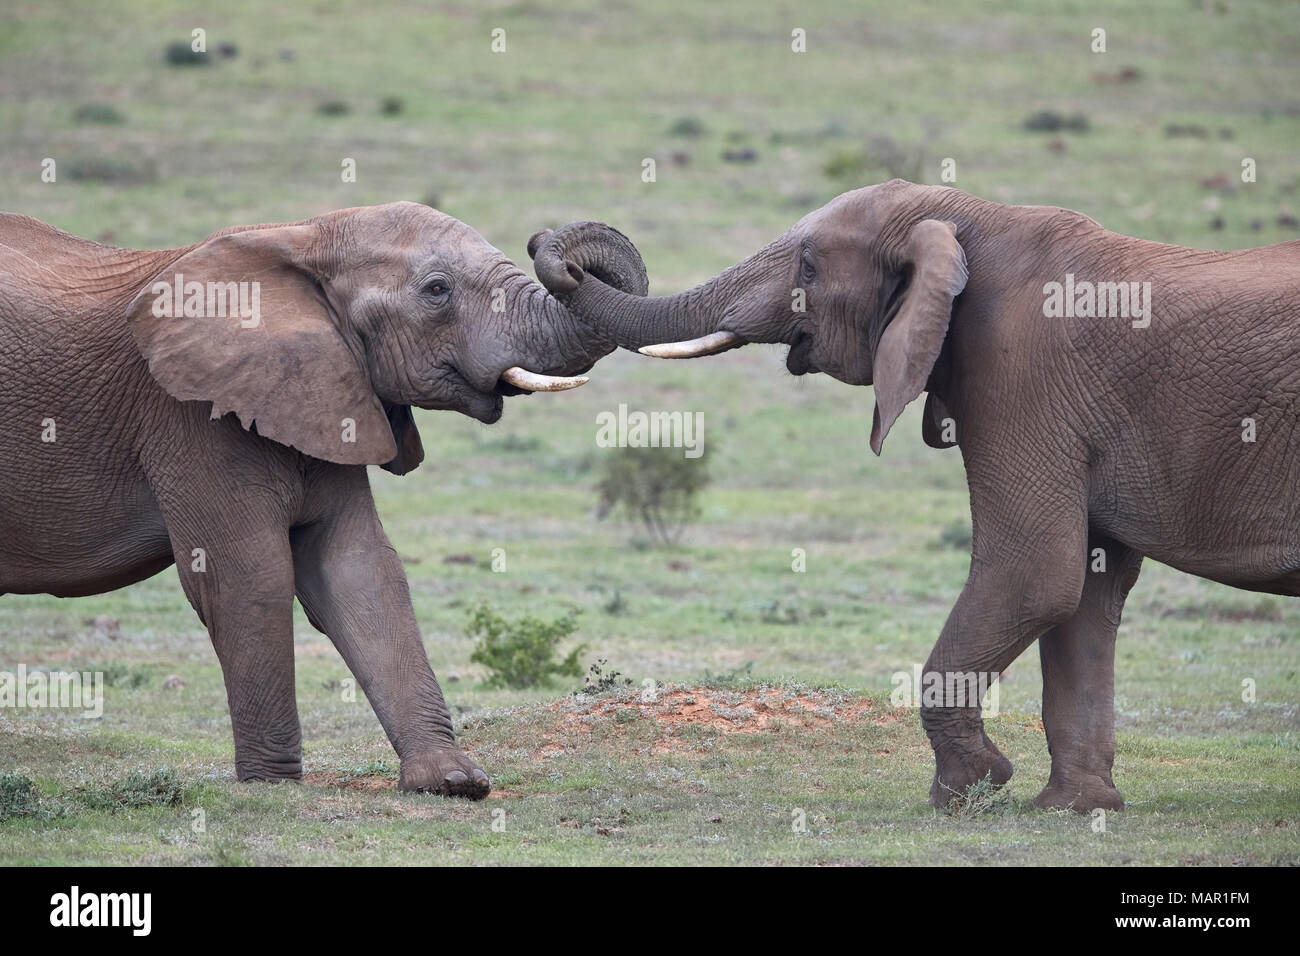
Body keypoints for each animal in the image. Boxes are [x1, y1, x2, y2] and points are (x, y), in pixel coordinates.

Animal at [0, 201, 645, 798]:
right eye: (437, 291)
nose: (548, 244)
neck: (300, 234)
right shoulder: (190, 414)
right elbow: (251, 576)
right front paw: (273, 785)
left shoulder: (329, 395)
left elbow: (359, 567)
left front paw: (453, 782)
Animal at [529, 179, 1300, 811]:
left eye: (808, 267)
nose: (552, 249)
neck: (967, 219)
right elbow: (1085, 589)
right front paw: (1074, 809)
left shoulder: (1021, 377)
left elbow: (1035, 573)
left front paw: (968, 791)